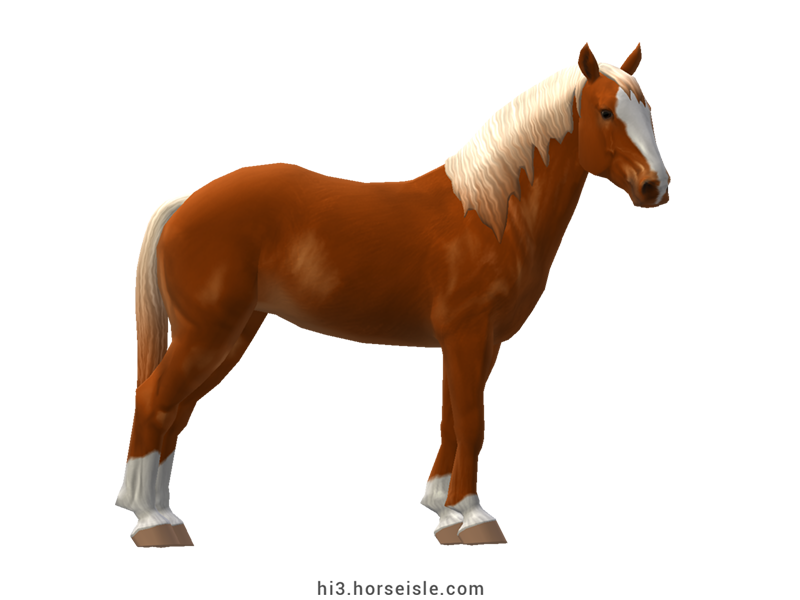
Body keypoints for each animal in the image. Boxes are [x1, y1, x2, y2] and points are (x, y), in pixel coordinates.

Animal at [116, 43, 668, 543]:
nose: (653, 186)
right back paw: (149, 519)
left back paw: (155, 508)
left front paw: (442, 507)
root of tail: (183, 206)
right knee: (151, 402)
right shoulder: (466, 334)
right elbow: (472, 420)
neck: (493, 213)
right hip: (205, 337)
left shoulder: (473, 340)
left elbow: (451, 420)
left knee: (172, 412)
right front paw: (473, 514)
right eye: (605, 112)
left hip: (217, 343)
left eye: (644, 108)